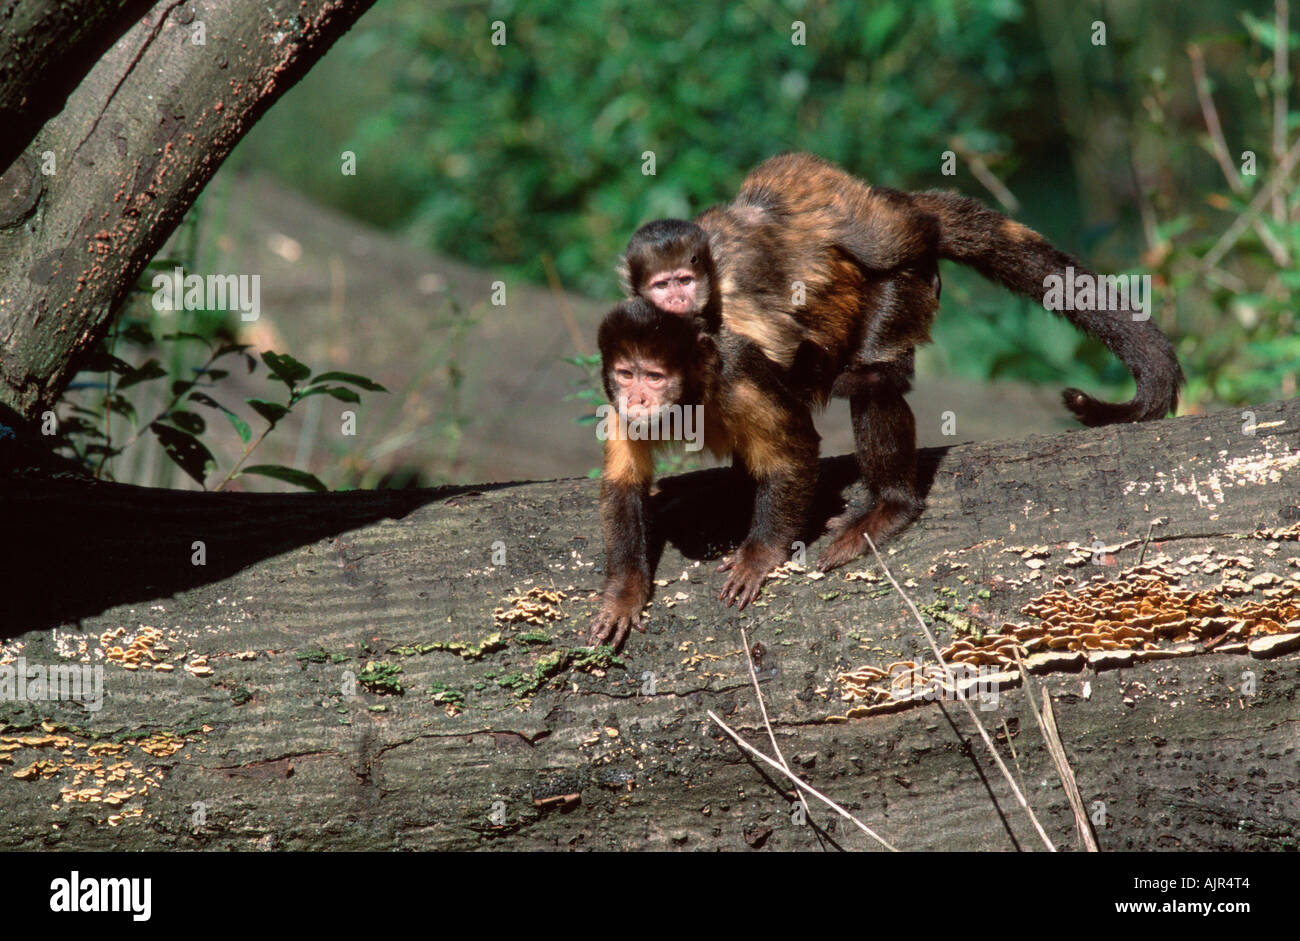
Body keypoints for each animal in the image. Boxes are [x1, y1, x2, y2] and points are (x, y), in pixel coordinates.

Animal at [589, 152, 1183, 648]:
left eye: (654, 376)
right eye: (627, 375)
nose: (638, 398)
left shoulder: (736, 367)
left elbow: (794, 449)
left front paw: (760, 555)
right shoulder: (616, 398)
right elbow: (623, 487)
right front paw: (625, 589)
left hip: (903, 273)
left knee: (873, 370)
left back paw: (890, 506)